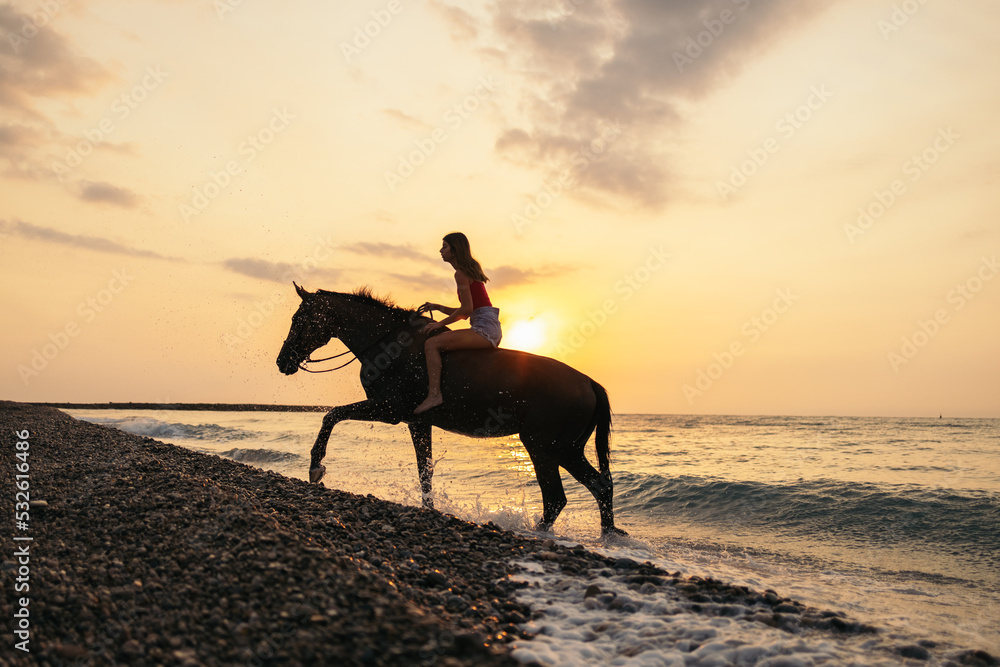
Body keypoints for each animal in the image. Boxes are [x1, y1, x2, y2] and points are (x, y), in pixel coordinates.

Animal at [275, 283, 627, 537]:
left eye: (299, 320)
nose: (283, 361)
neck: (391, 344)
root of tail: (589, 383)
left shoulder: (388, 411)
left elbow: (331, 415)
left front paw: (316, 467)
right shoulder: (417, 422)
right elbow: (425, 469)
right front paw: (428, 508)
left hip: (544, 447)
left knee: (558, 496)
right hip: (566, 449)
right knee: (600, 486)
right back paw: (606, 533)